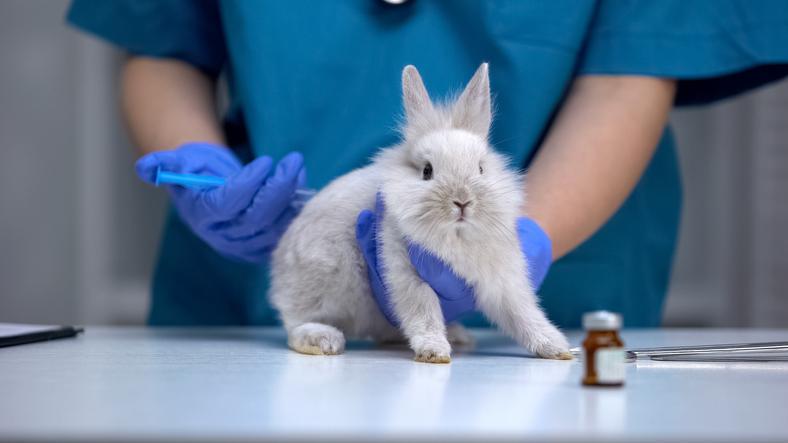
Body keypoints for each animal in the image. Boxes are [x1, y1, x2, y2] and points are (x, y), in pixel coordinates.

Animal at [270, 63, 571, 363]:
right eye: (427, 171)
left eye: (481, 168)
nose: (462, 201)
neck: (456, 237)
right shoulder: (406, 271)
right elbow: (423, 310)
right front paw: (434, 351)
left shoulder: (502, 279)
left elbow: (523, 312)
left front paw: (556, 348)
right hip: (323, 279)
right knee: (296, 324)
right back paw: (322, 339)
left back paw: (457, 334)